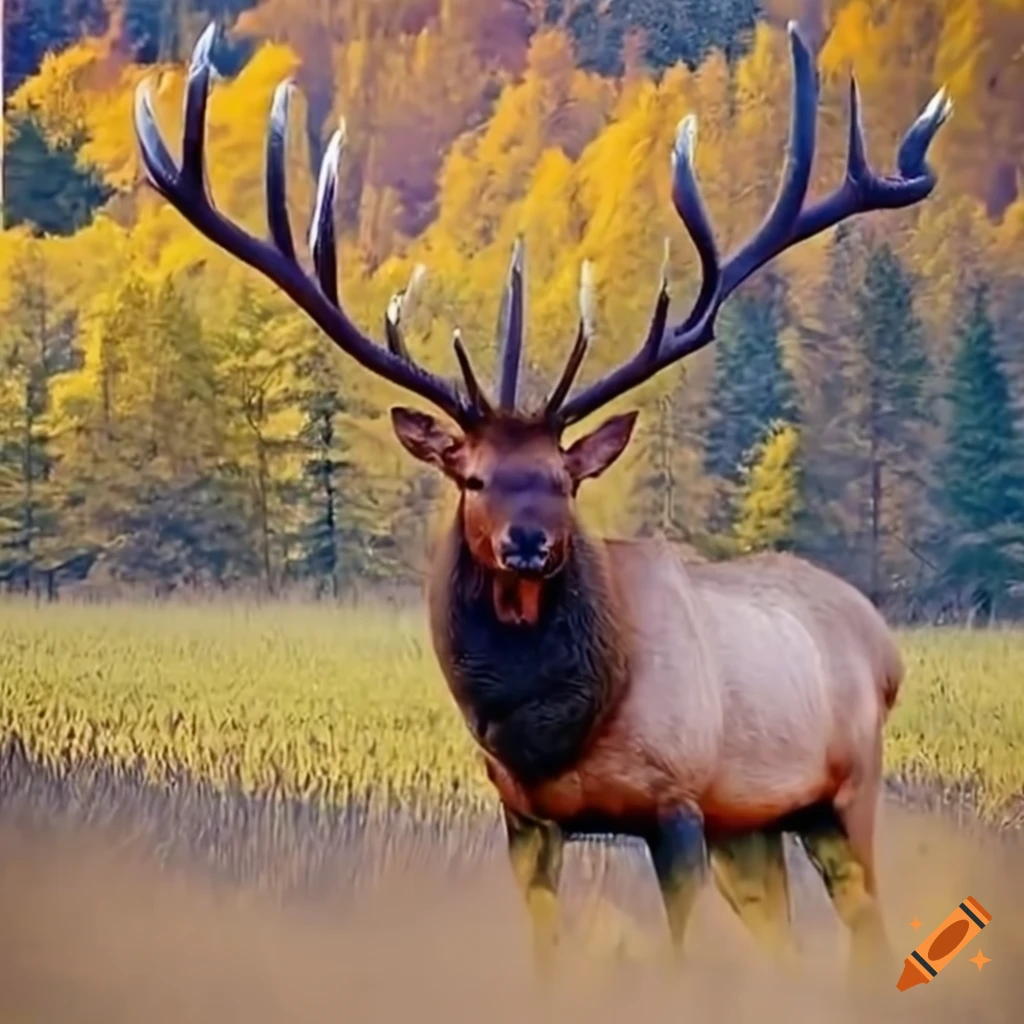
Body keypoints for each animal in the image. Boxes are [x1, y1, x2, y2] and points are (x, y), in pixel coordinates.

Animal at [133, 20, 951, 983]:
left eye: (565, 479)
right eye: (473, 476)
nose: (528, 541)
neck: (554, 731)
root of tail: (882, 636)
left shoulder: (676, 802)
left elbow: (681, 957)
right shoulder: (526, 817)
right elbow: (546, 953)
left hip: (846, 789)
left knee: (869, 926)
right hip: (751, 828)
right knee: (783, 941)